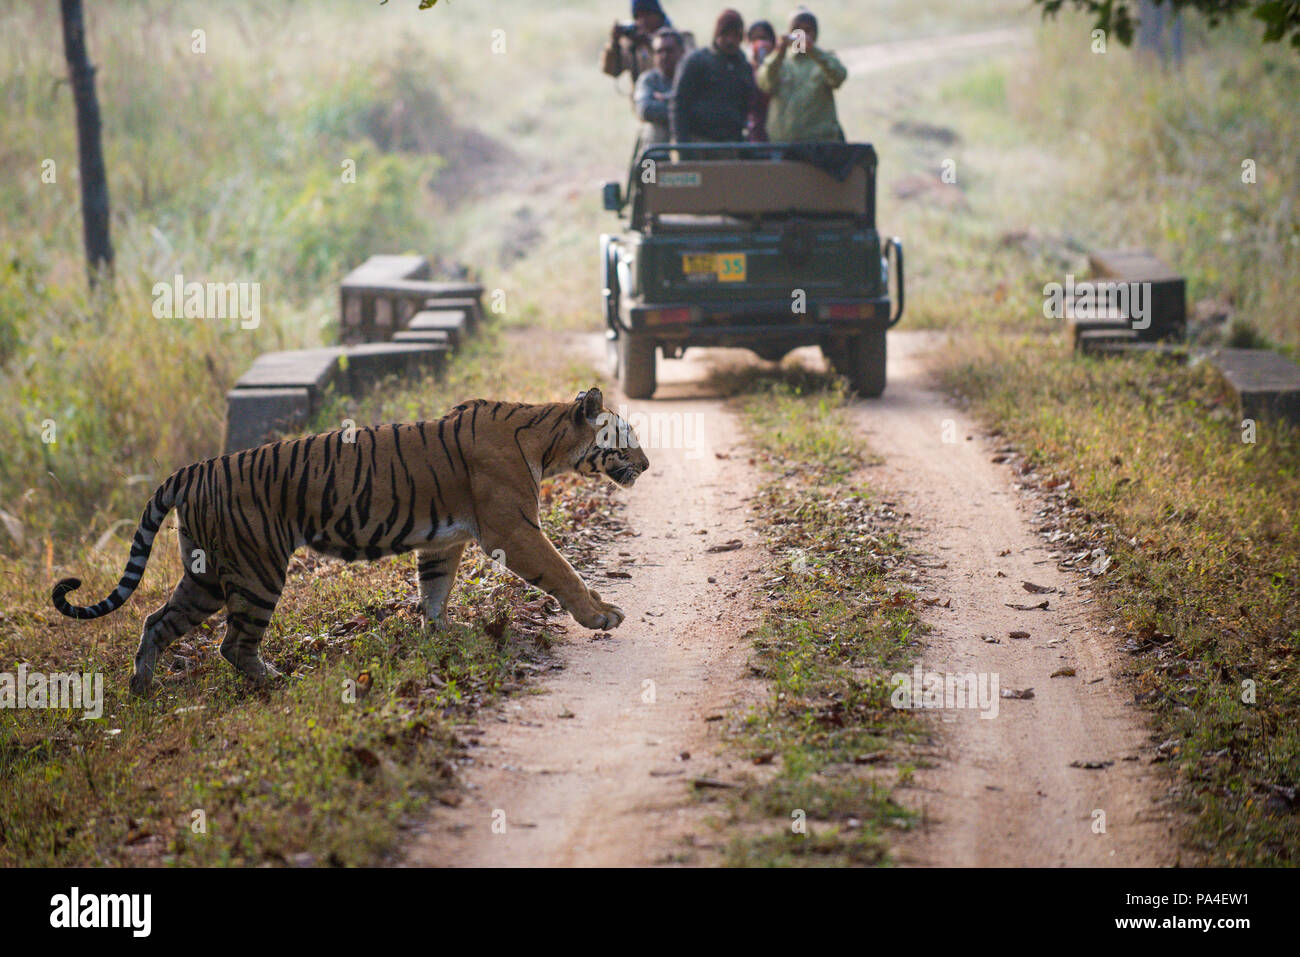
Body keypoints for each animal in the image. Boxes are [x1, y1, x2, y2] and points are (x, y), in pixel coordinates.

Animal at [51, 387, 650, 696]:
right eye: (627, 437)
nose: (646, 464)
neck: (549, 442)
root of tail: (194, 468)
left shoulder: (444, 542)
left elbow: (435, 591)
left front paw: (443, 636)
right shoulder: (514, 530)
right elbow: (563, 571)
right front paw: (601, 616)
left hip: (206, 575)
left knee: (158, 622)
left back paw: (141, 687)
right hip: (256, 568)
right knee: (233, 642)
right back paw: (276, 682)